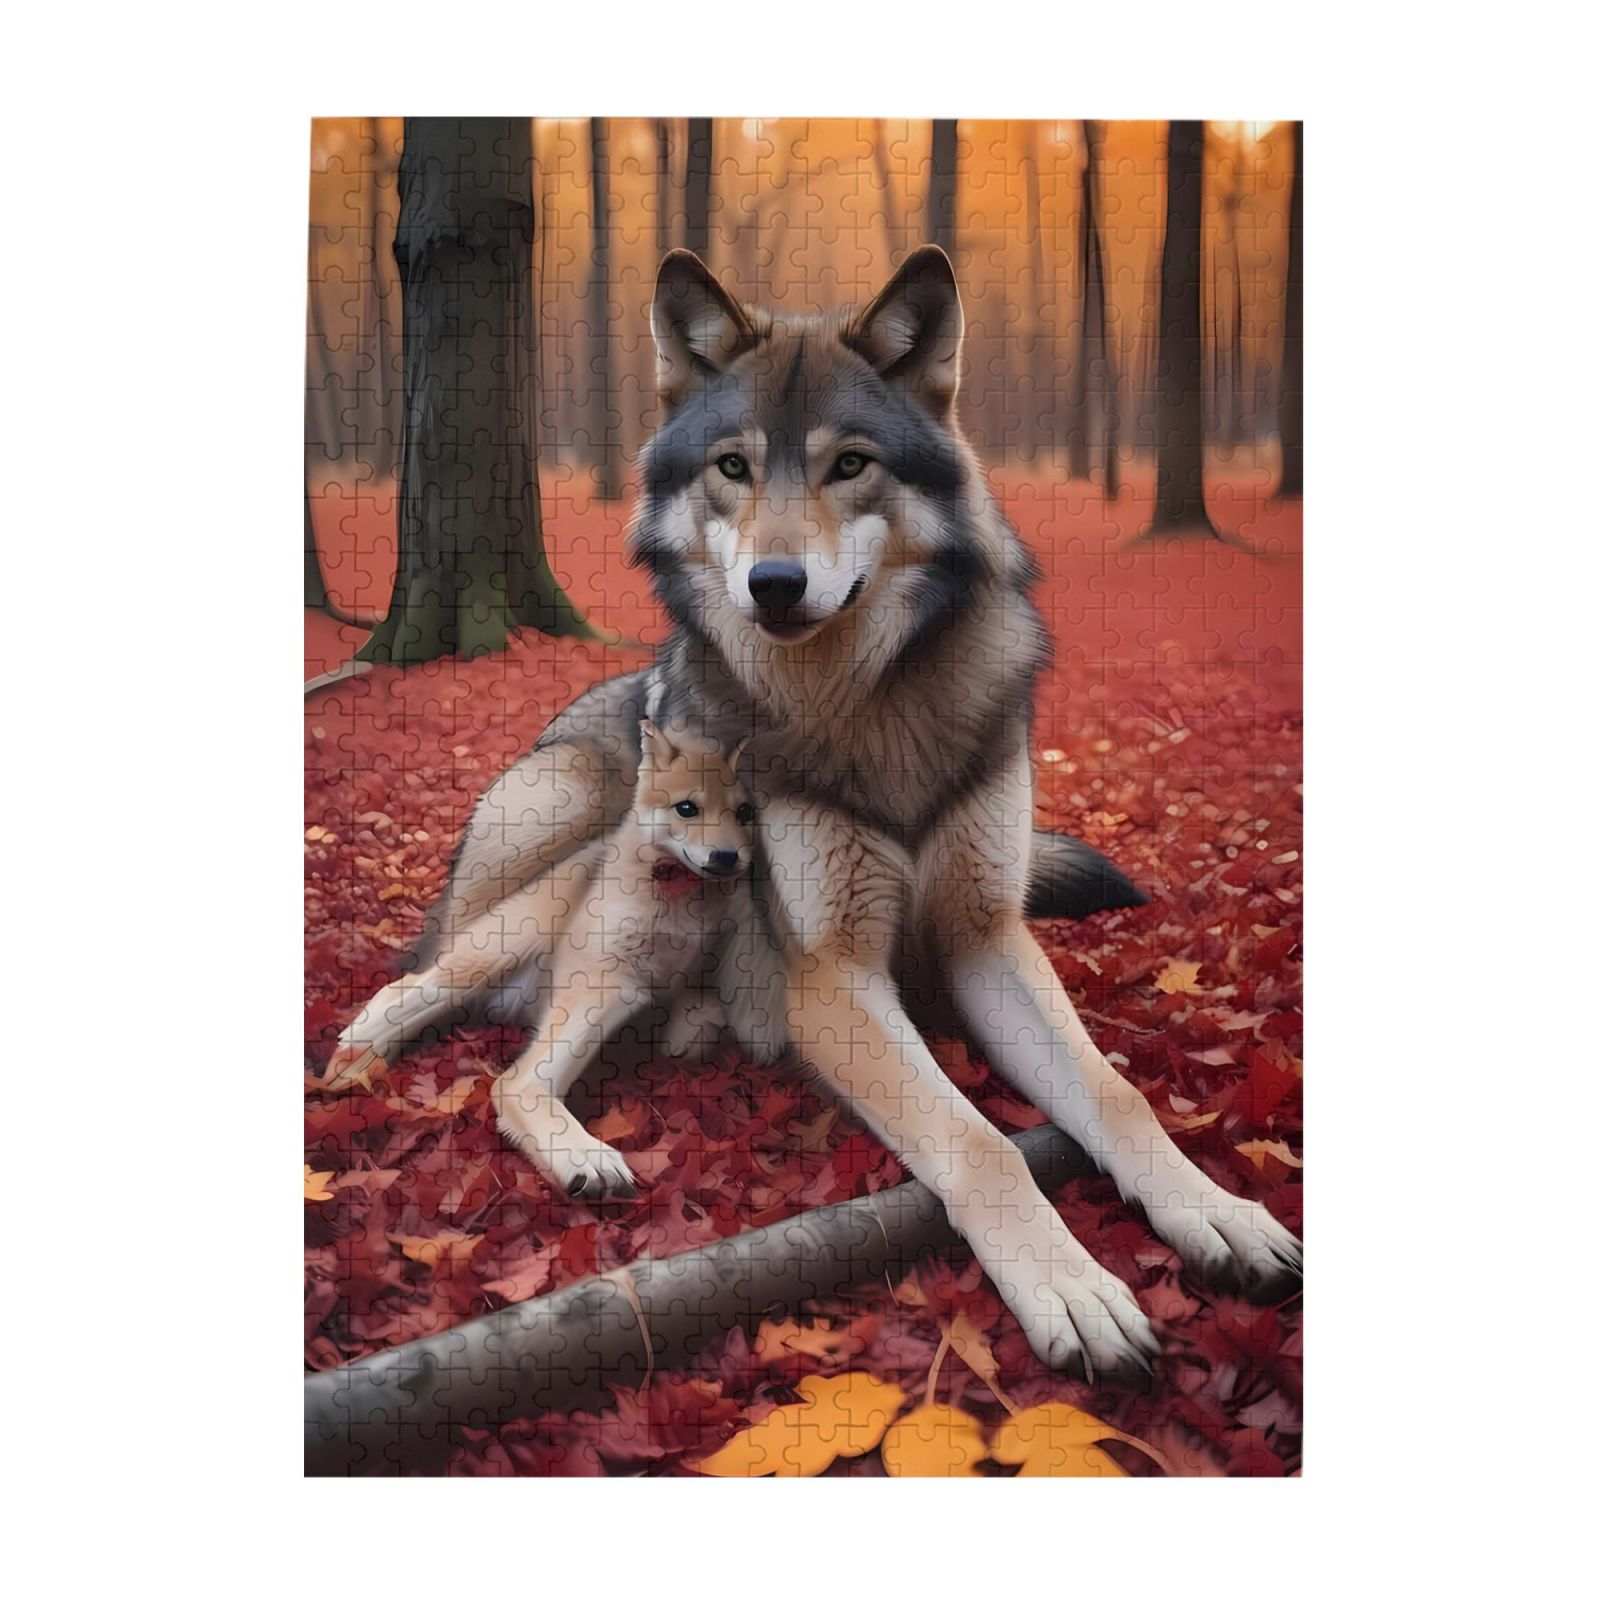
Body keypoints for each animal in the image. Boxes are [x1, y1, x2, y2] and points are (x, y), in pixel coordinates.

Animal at [386, 245, 1301, 1381]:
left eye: (850, 465)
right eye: (733, 468)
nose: (775, 584)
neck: (864, 709)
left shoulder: (987, 937)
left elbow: (1119, 1096)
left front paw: (1216, 1210)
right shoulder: (834, 984)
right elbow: (980, 1141)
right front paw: (1075, 1288)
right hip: (559, 809)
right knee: (437, 992)